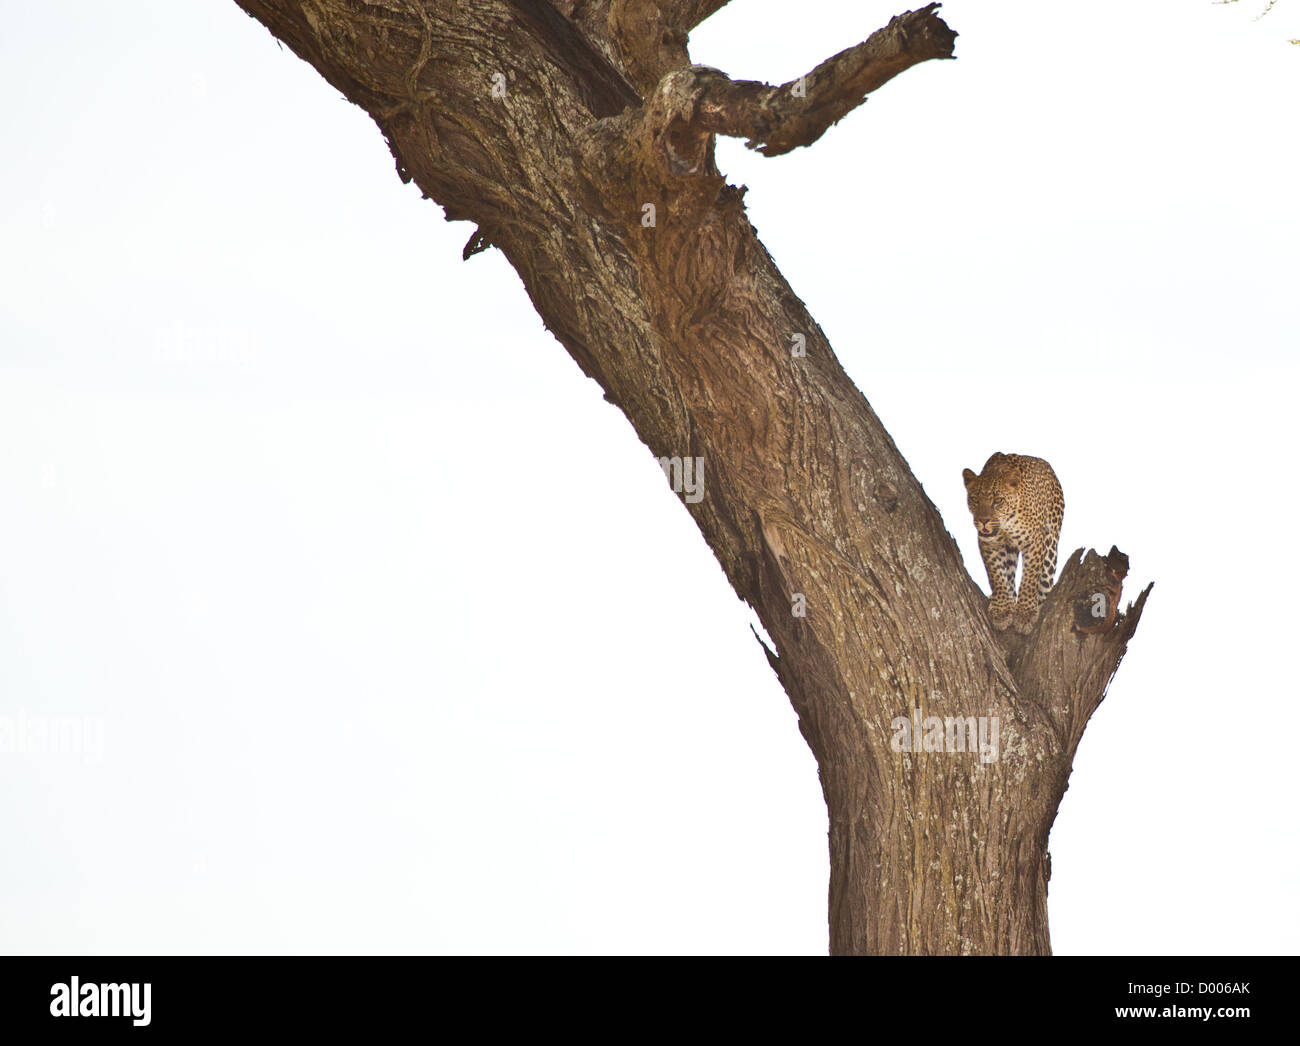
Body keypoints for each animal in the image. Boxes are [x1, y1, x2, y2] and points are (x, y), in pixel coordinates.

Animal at [961, 452, 1064, 635]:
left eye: (998, 500)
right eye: (974, 499)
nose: (983, 521)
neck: (1006, 524)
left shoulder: (1035, 543)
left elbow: (1030, 579)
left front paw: (1025, 613)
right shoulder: (990, 545)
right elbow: (996, 577)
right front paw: (1002, 610)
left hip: (1051, 542)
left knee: (1044, 581)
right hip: (1009, 551)